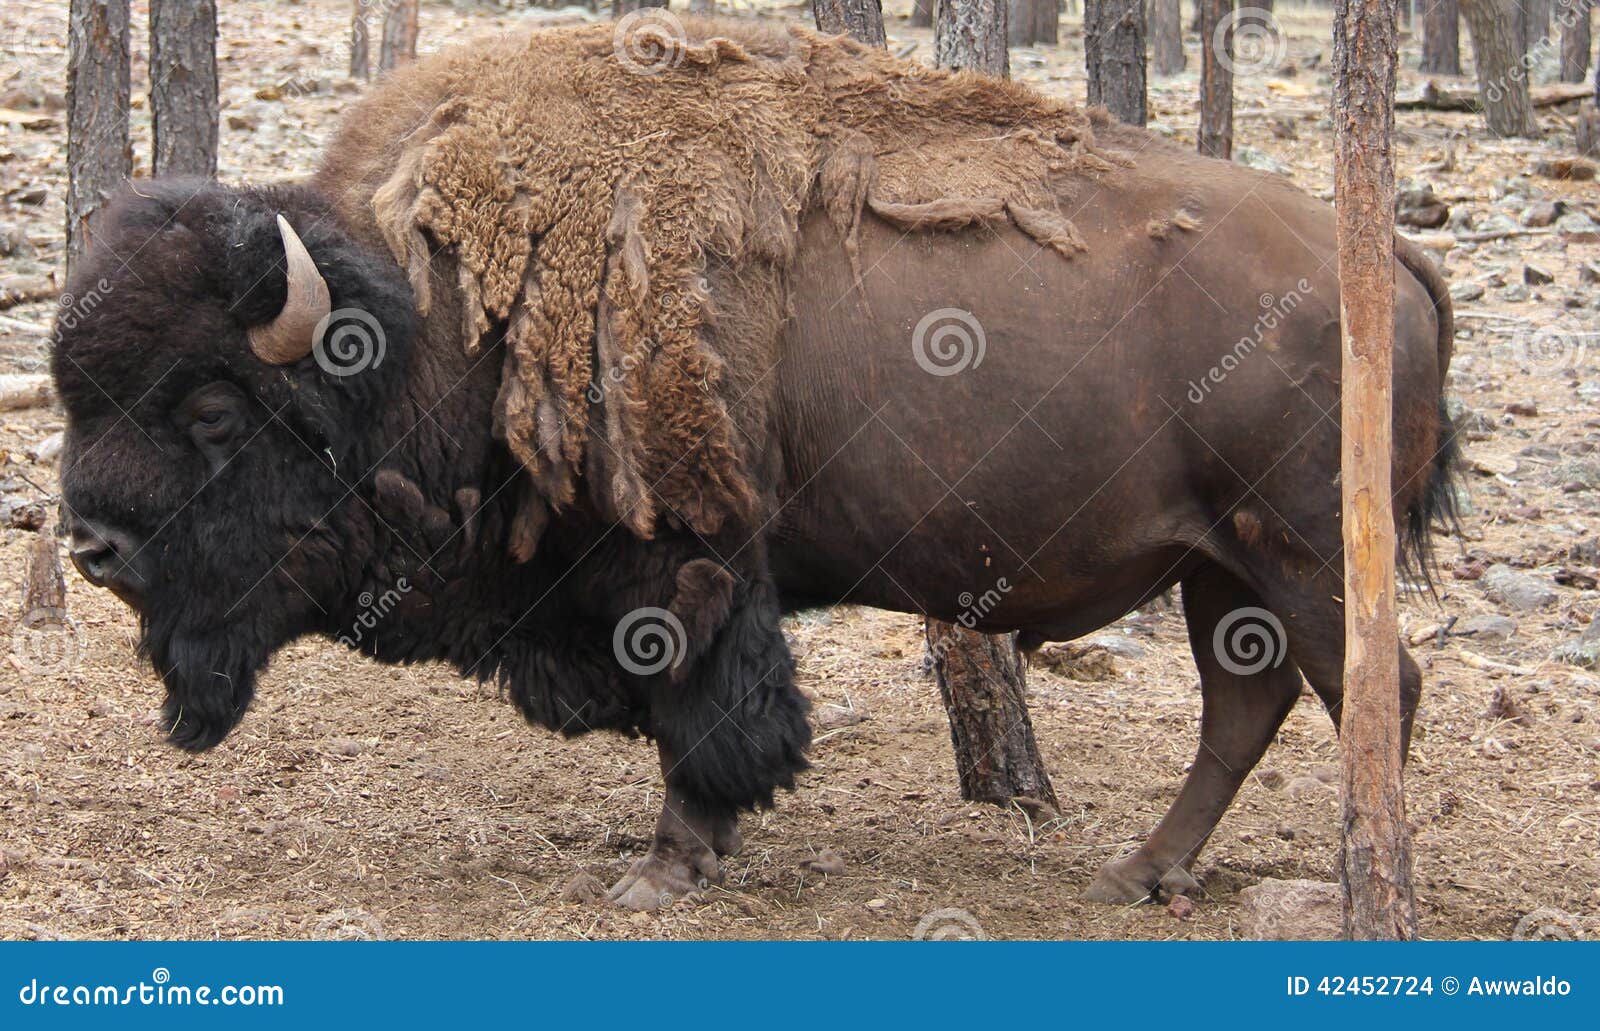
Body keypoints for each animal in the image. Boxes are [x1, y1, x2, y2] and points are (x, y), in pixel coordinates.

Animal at [52, 18, 1455, 911]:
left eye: (215, 409)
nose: (92, 545)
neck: (430, 319)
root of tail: (1381, 251)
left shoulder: (686, 560)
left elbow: (702, 706)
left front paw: (665, 865)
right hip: (1218, 568)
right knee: (1247, 702)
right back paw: (1141, 872)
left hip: (1300, 556)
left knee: (1369, 685)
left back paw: (1345, 883)